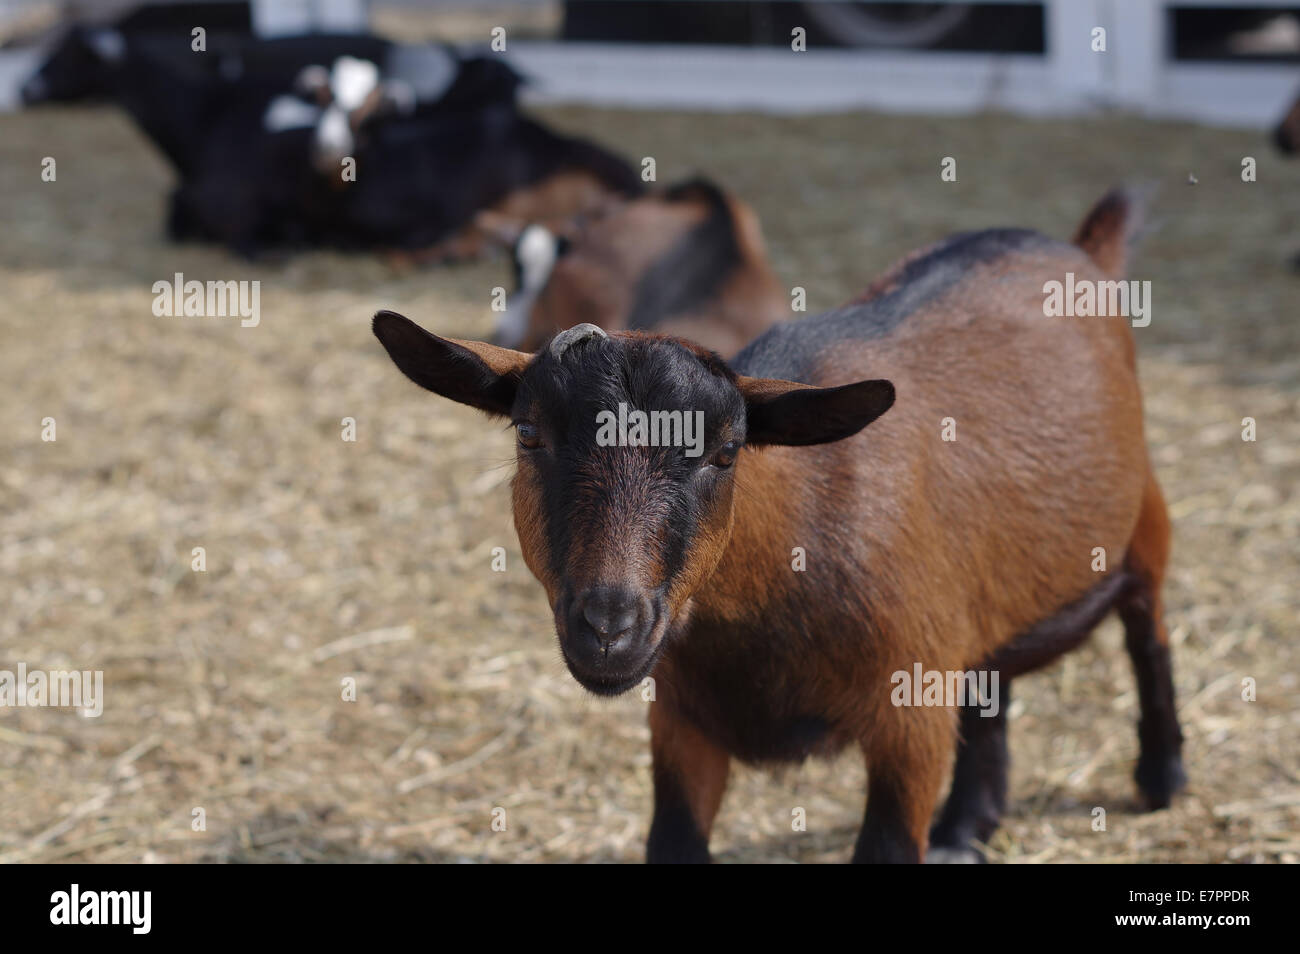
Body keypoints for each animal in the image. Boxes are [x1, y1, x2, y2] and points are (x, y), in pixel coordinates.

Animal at [372, 187, 1184, 863]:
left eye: (727, 452)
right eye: (529, 434)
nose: (608, 625)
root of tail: (1079, 247)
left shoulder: (909, 722)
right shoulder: (683, 723)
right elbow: (672, 844)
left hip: (1144, 518)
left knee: (1148, 629)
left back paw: (1162, 774)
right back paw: (965, 830)